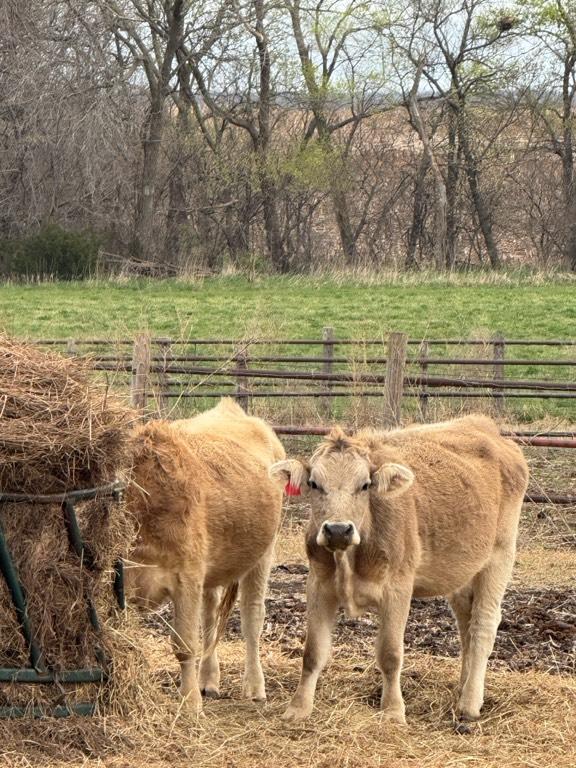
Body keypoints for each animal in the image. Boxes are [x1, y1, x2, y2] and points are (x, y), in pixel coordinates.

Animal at [124, 398, 285, 713]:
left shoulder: (186, 578)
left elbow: (184, 644)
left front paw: (189, 703)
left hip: (262, 555)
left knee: (252, 618)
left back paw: (255, 686)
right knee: (210, 616)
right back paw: (208, 680)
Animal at [270, 415, 529, 727]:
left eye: (365, 485)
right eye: (314, 483)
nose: (338, 530)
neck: (350, 555)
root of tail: (486, 427)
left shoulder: (398, 589)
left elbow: (390, 654)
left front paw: (393, 710)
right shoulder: (318, 584)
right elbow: (313, 653)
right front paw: (298, 708)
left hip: (500, 555)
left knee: (483, 625)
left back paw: (469, 703)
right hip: (462, 572)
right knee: (466, 623)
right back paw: (463, 687)